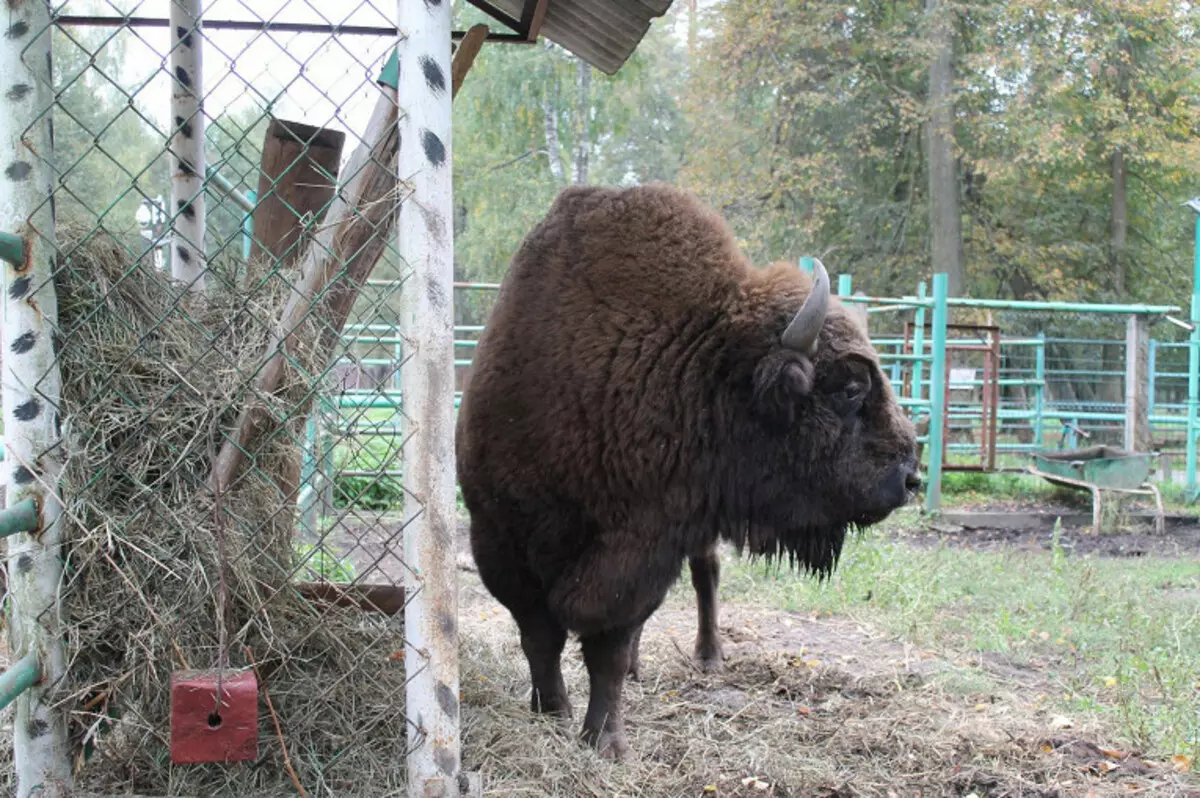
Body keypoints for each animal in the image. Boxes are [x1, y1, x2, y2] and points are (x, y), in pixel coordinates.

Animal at [458, 182, 916, 758]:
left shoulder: (643, 550)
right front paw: (552, 710)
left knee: (705, 576)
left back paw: (707, 656)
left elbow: (606, 646)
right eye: (851, 388)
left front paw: (606, 741)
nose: (910, 475)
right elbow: (539, 634)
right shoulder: (499, 538)